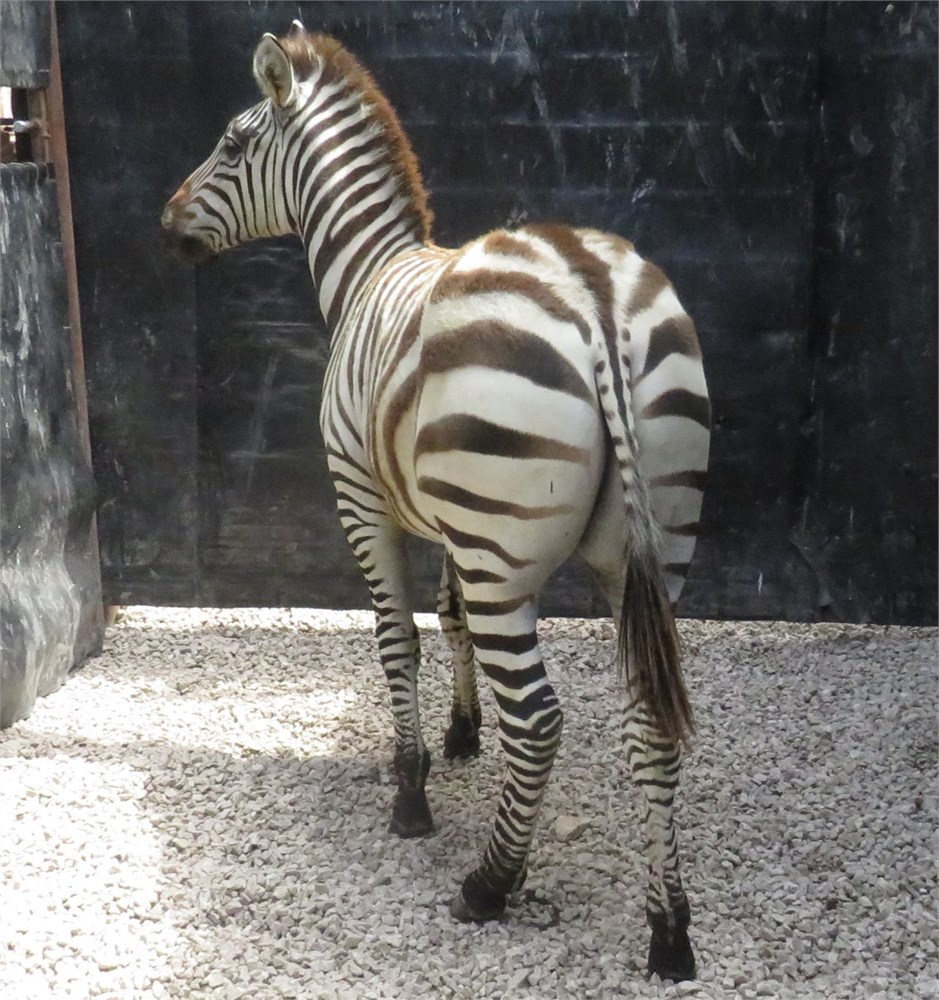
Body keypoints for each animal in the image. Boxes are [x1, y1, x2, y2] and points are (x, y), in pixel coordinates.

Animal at [162, 24, 709, 982]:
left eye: (231, 145)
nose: (167, 220)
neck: (364, 275)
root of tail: (591, 288)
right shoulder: (450, 523)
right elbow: (447, 618)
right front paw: (461, 735)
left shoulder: (362, 500)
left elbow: (398, 637)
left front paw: (412, 785)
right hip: (647, 544)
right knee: (649, 719)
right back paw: (667, 929)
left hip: (507, 553)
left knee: (541, 720)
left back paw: (489, 883)